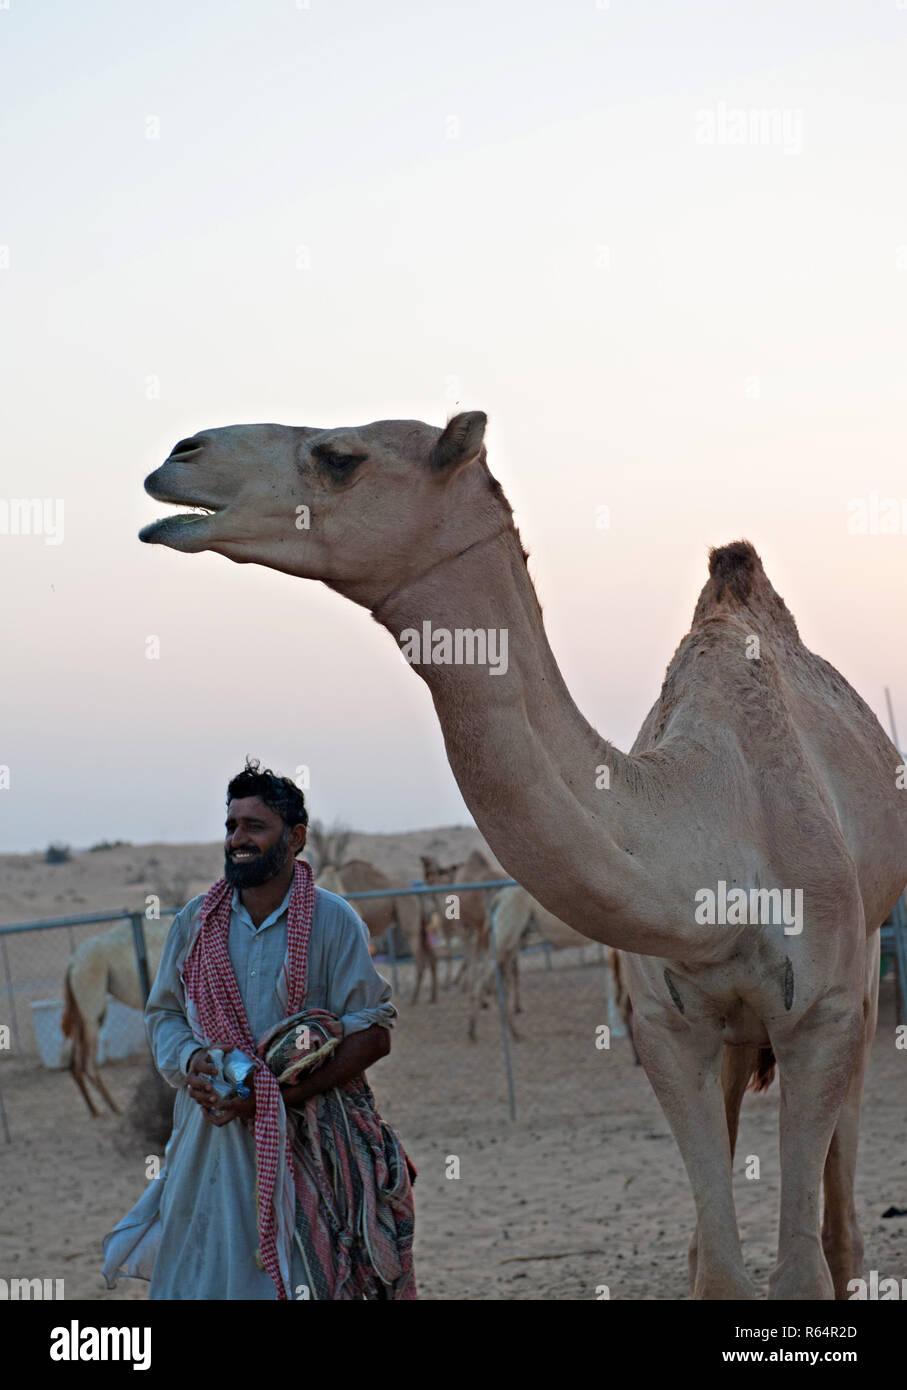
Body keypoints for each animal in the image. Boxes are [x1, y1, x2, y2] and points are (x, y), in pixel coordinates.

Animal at [62, 918, 168, 1116]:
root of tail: (72, 964)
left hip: (82, 1009)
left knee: (74, 1062)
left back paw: (95, 1109)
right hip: (91, 999)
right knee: (88, 1063)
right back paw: (115, 1108)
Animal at [140, 410, 907, 1300]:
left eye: (339, 457)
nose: (178, 457)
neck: (712, 843)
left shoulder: (818, 1010)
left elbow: (800, 1268)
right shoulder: (664, 1024)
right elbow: (717, 1268)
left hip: (861, 957)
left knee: (844, 1131)